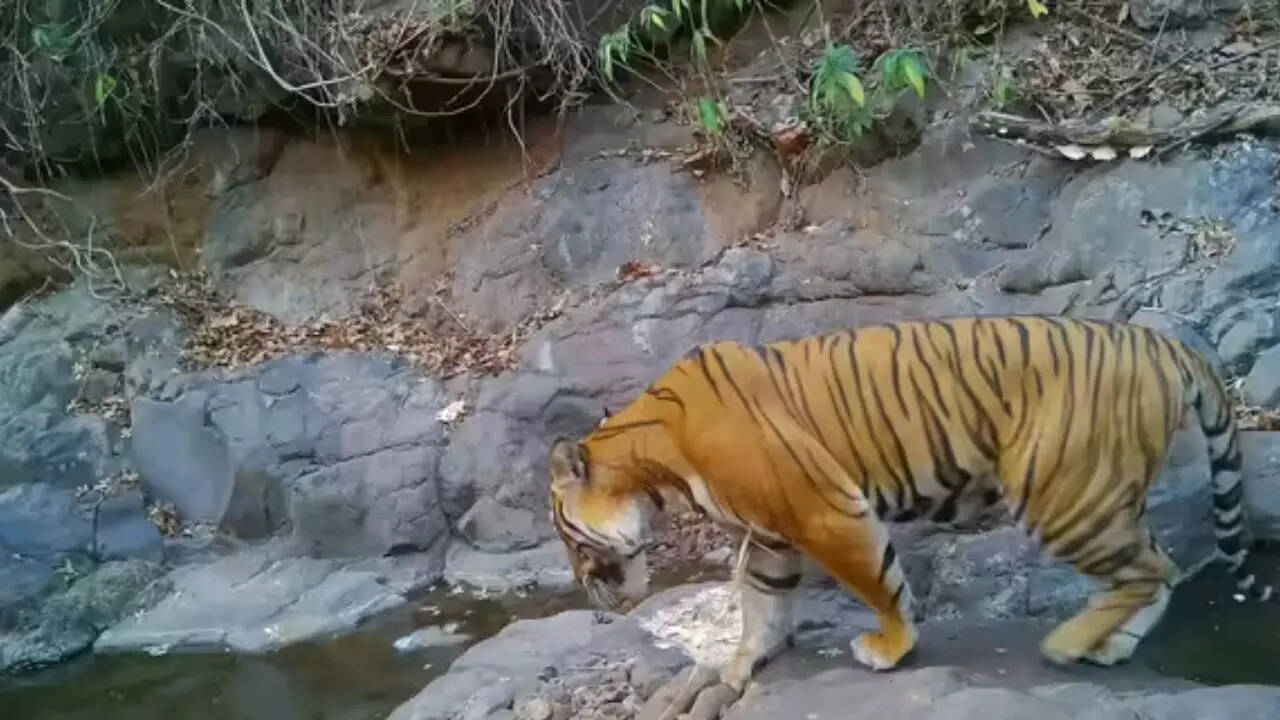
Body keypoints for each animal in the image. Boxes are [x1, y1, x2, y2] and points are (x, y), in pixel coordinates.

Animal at [548, 314, 1274, 720]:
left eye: (572, 541)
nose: (590, 594)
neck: (656, 461)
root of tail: (1160, 343)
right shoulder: (773, 534)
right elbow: (760, 598)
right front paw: (740, 664)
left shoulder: (825, 513)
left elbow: (879, 584)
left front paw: (891, 649)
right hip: (1105, 495)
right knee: (1162, 568)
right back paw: (1112, 645)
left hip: (1065, 495)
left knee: (1147, 571)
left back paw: (1068, 643)